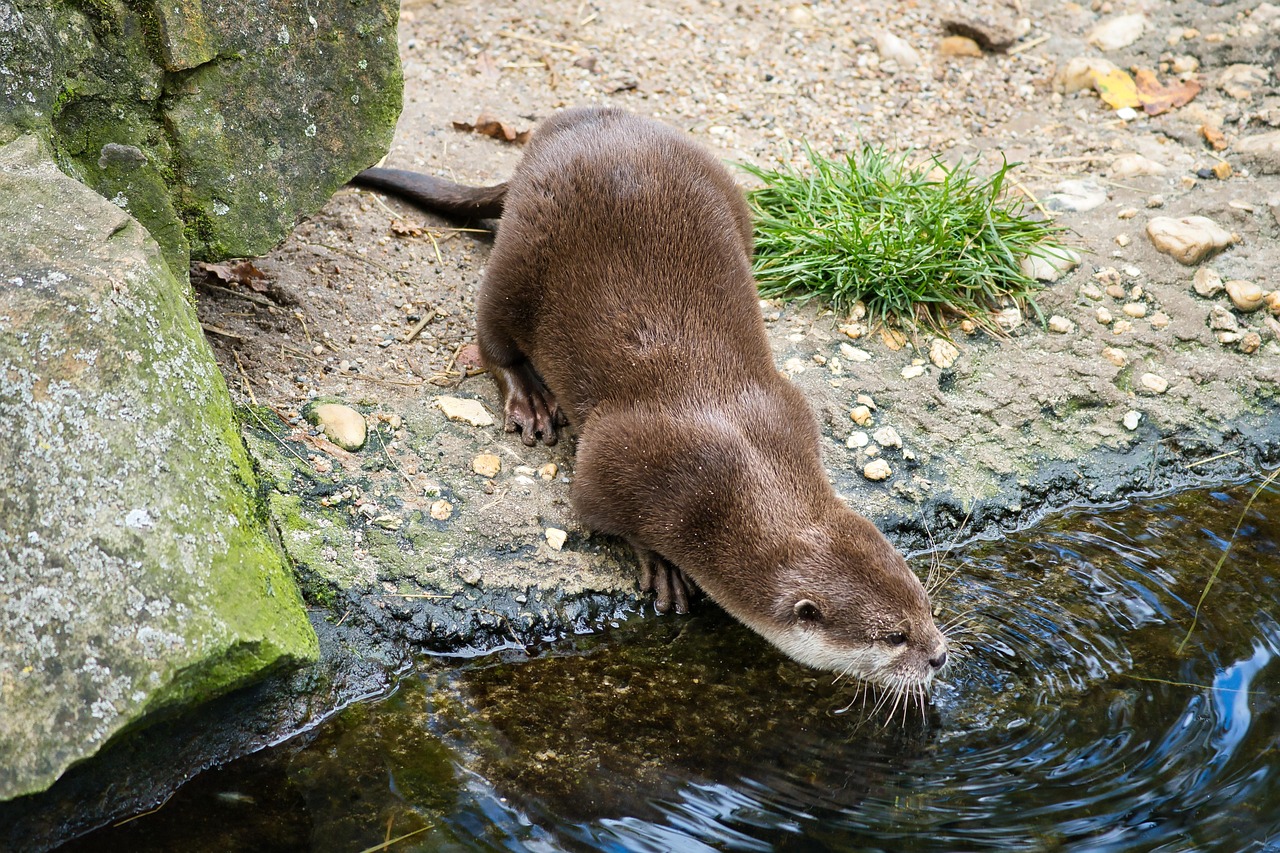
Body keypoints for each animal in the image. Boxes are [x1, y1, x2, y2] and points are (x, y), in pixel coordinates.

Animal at [353, 107, 948, 691]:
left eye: (924, 604)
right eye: (894, 636)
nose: (939, 655)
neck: (747, 465)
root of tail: (567, 124)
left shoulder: (785, 408)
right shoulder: (617, 460)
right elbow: (602, 513)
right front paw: (663, 567)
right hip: (525, 244)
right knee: (491, 328)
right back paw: (530, 400)